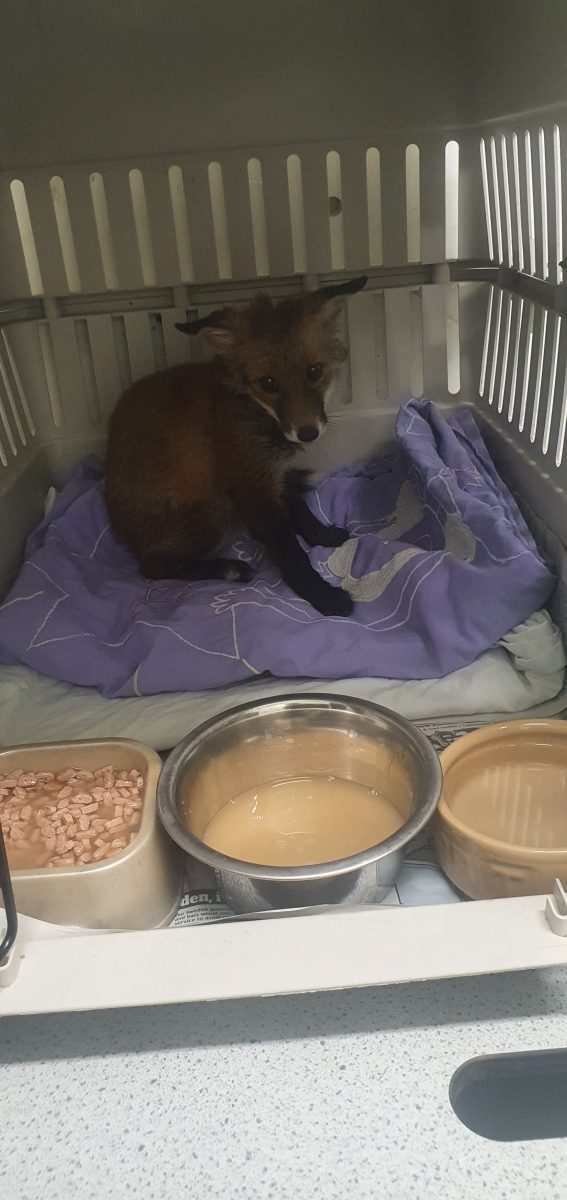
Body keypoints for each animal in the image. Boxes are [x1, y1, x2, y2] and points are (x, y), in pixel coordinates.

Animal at [105, 275, 367, 616]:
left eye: (314, 371)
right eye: (268, 383)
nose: (307, 432)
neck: (252, 411)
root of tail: (119, 527)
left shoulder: (273, 474)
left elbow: (299, 509)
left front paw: (321, 534)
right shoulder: (248, 486)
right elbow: (290, 549)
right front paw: (322, 594)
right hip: (213, 517)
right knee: (152, 567)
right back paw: (229, 568)